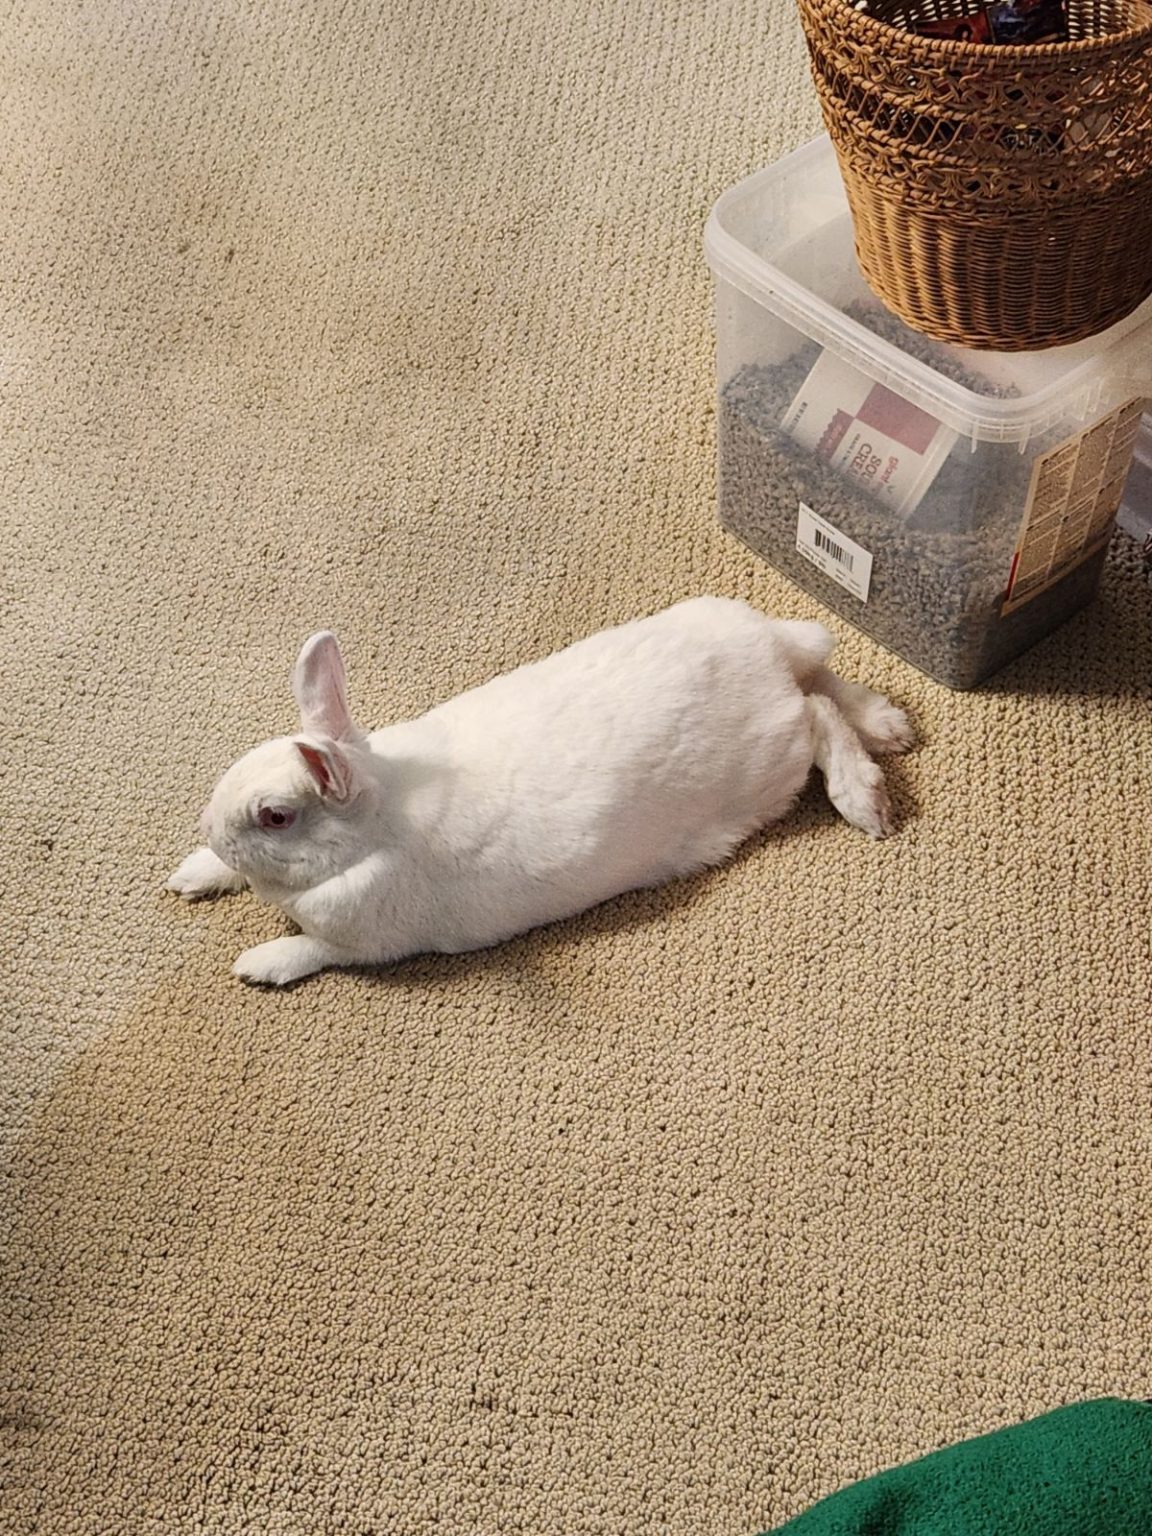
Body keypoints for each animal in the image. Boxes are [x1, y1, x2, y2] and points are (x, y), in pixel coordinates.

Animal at [166, 597, 913, 985]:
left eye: (276, 817)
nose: (205, 825)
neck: (378, 821)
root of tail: (764, 652)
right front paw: (191, 874)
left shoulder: (365, 944)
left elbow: (311, 952)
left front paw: (254, 965)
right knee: (824, 681)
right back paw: (891, 727)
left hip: (774, 761)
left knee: (817, 714)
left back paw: (865, 799)